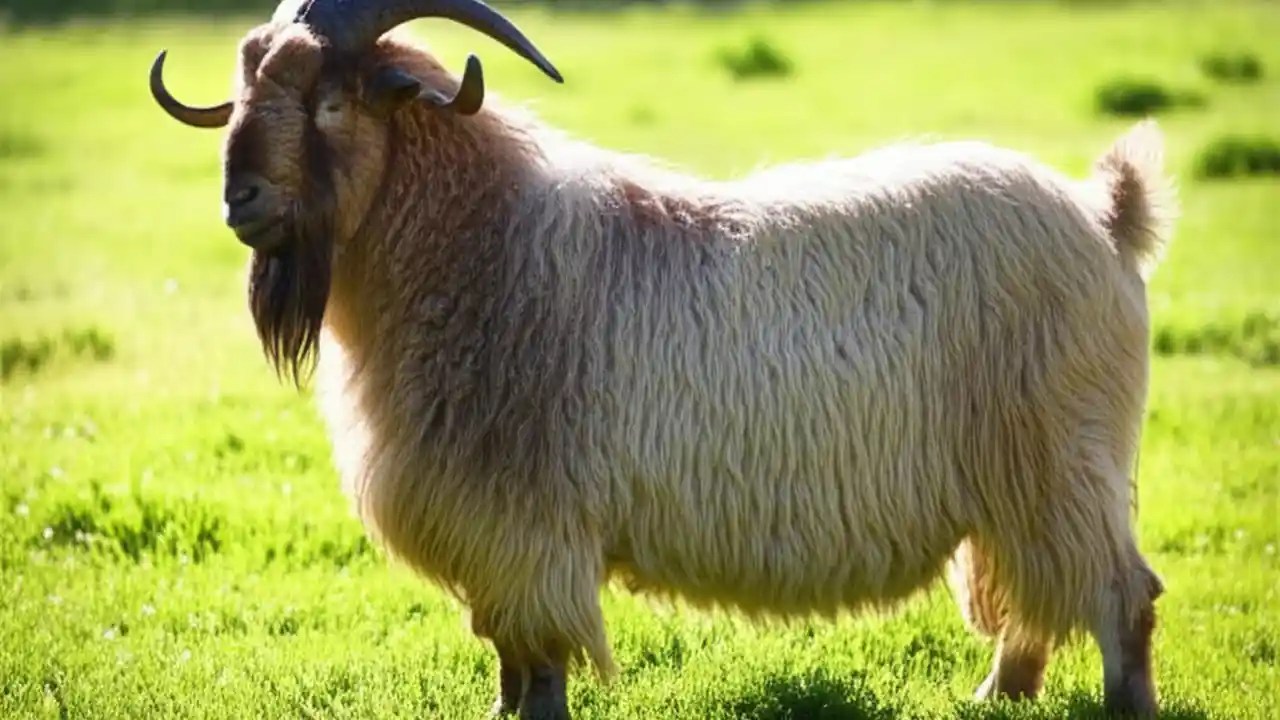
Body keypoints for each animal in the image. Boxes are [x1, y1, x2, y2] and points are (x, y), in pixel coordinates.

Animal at [149, 1, 1174, 718]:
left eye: (329, 100)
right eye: (245, 95)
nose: (239, 201)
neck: (481, 241)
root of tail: (1105, 216)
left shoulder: (529, 530)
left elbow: (540, 663)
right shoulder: (495, 540)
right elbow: (504, 657)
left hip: (1061, 462)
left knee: (1120, 596)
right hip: (1023, 480)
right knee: (1036, 605)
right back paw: (994, 697)